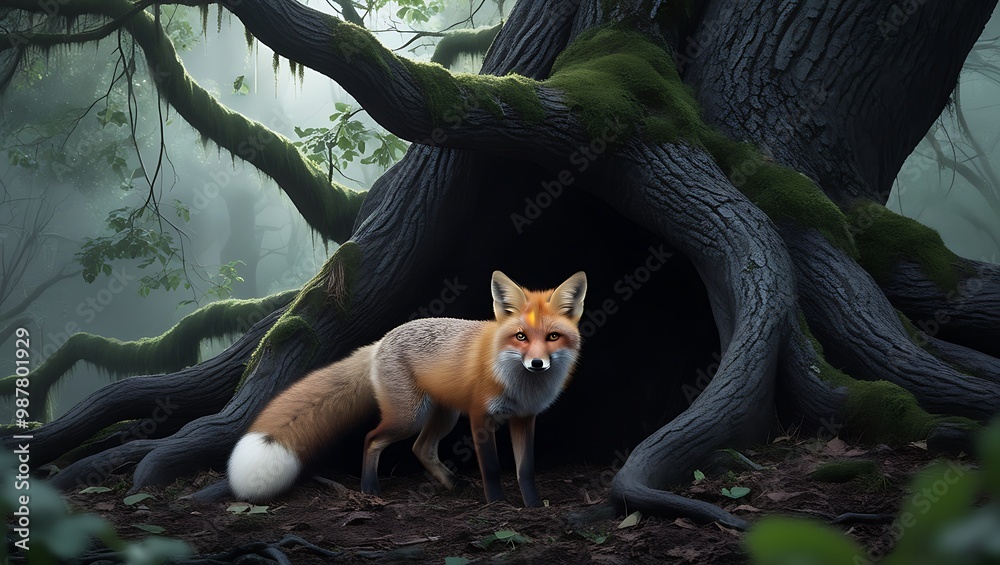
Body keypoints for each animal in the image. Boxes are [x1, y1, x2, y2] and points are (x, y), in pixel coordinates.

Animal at [228, 270, 587, 507]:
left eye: (553, 337)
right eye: (521, 337)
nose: (537, 364)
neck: (522, 386)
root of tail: (381, 341)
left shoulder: (524, 418)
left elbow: (525, 469)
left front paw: (533, 506)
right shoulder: (479, 416)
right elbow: (494, 468)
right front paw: (498, 505)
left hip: (442, 416)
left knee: (421, 448)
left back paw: (451, 484)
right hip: (409, 417)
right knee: (372, 438)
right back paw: (369, 488)